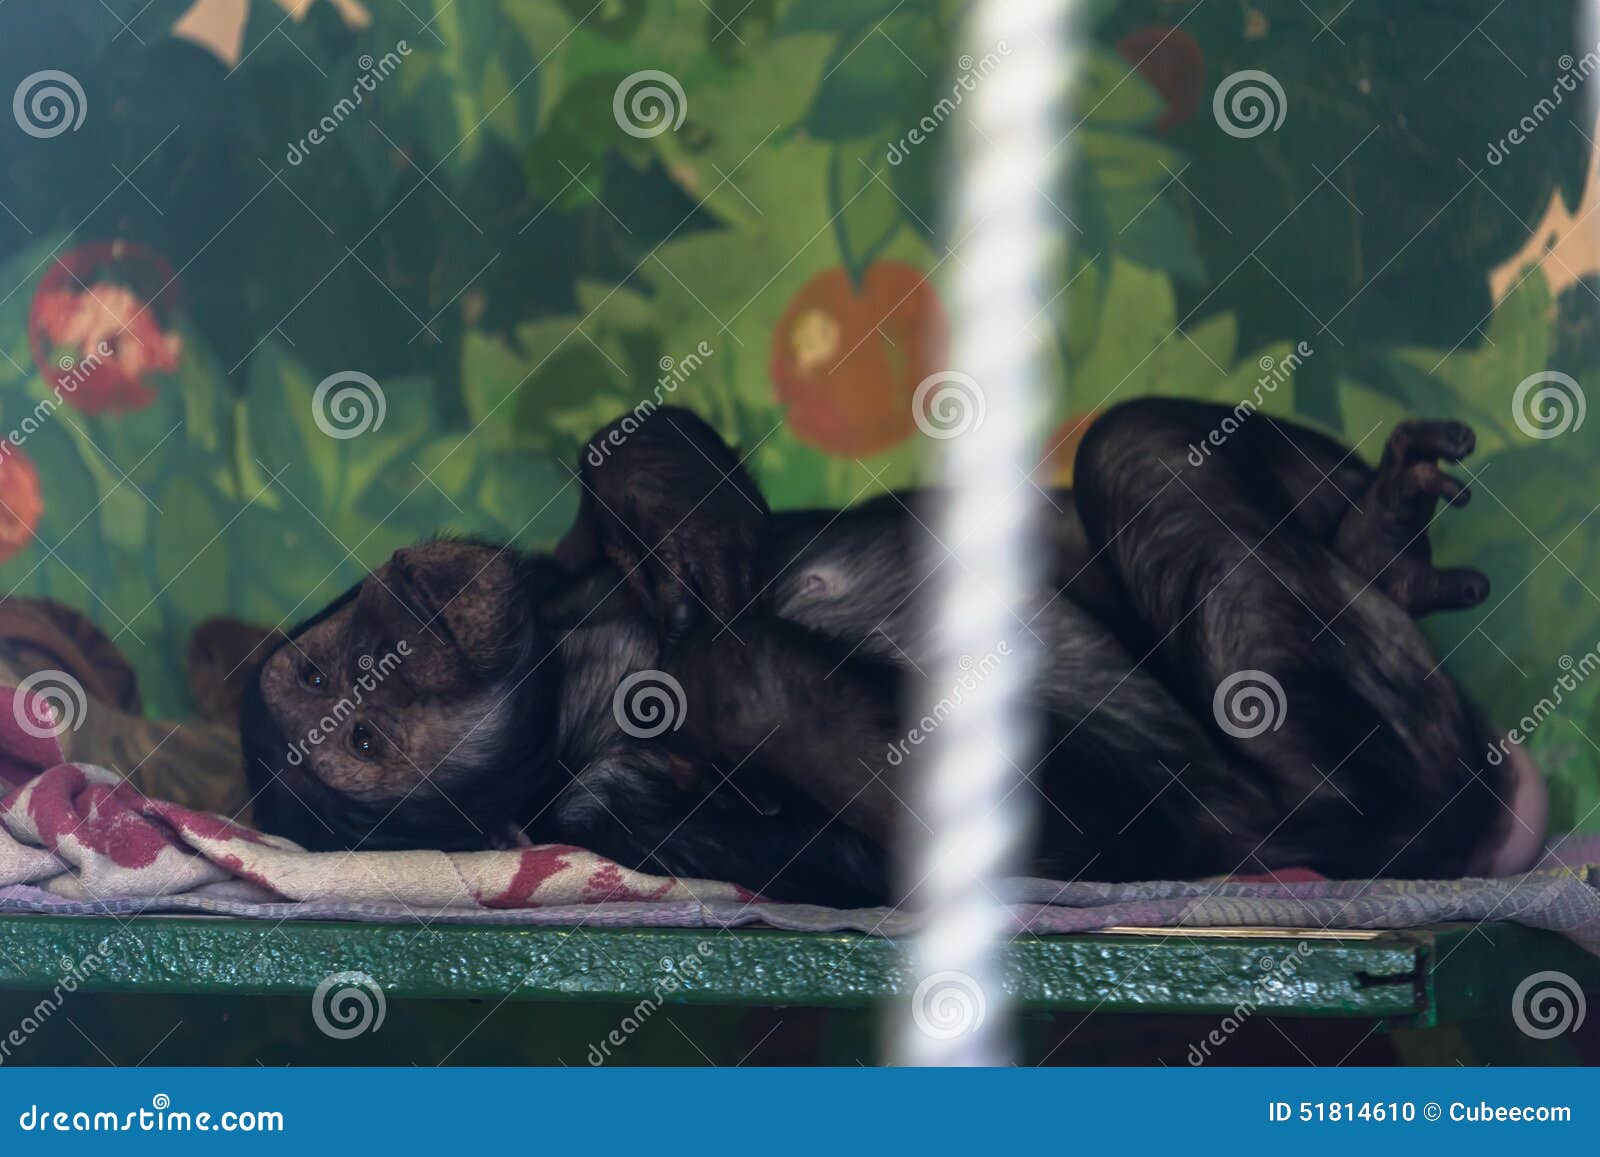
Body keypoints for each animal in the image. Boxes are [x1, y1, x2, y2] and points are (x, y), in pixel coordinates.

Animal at [239, 399, 1547, 907]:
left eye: (332, 662)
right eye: (352, 722)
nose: (400, 616)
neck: (565, 673)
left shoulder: (555, 580)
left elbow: (646, 483)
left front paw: (676, 510)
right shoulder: (611, 816)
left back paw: (1382, 535)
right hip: (1372, 760)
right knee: (1135, 457)